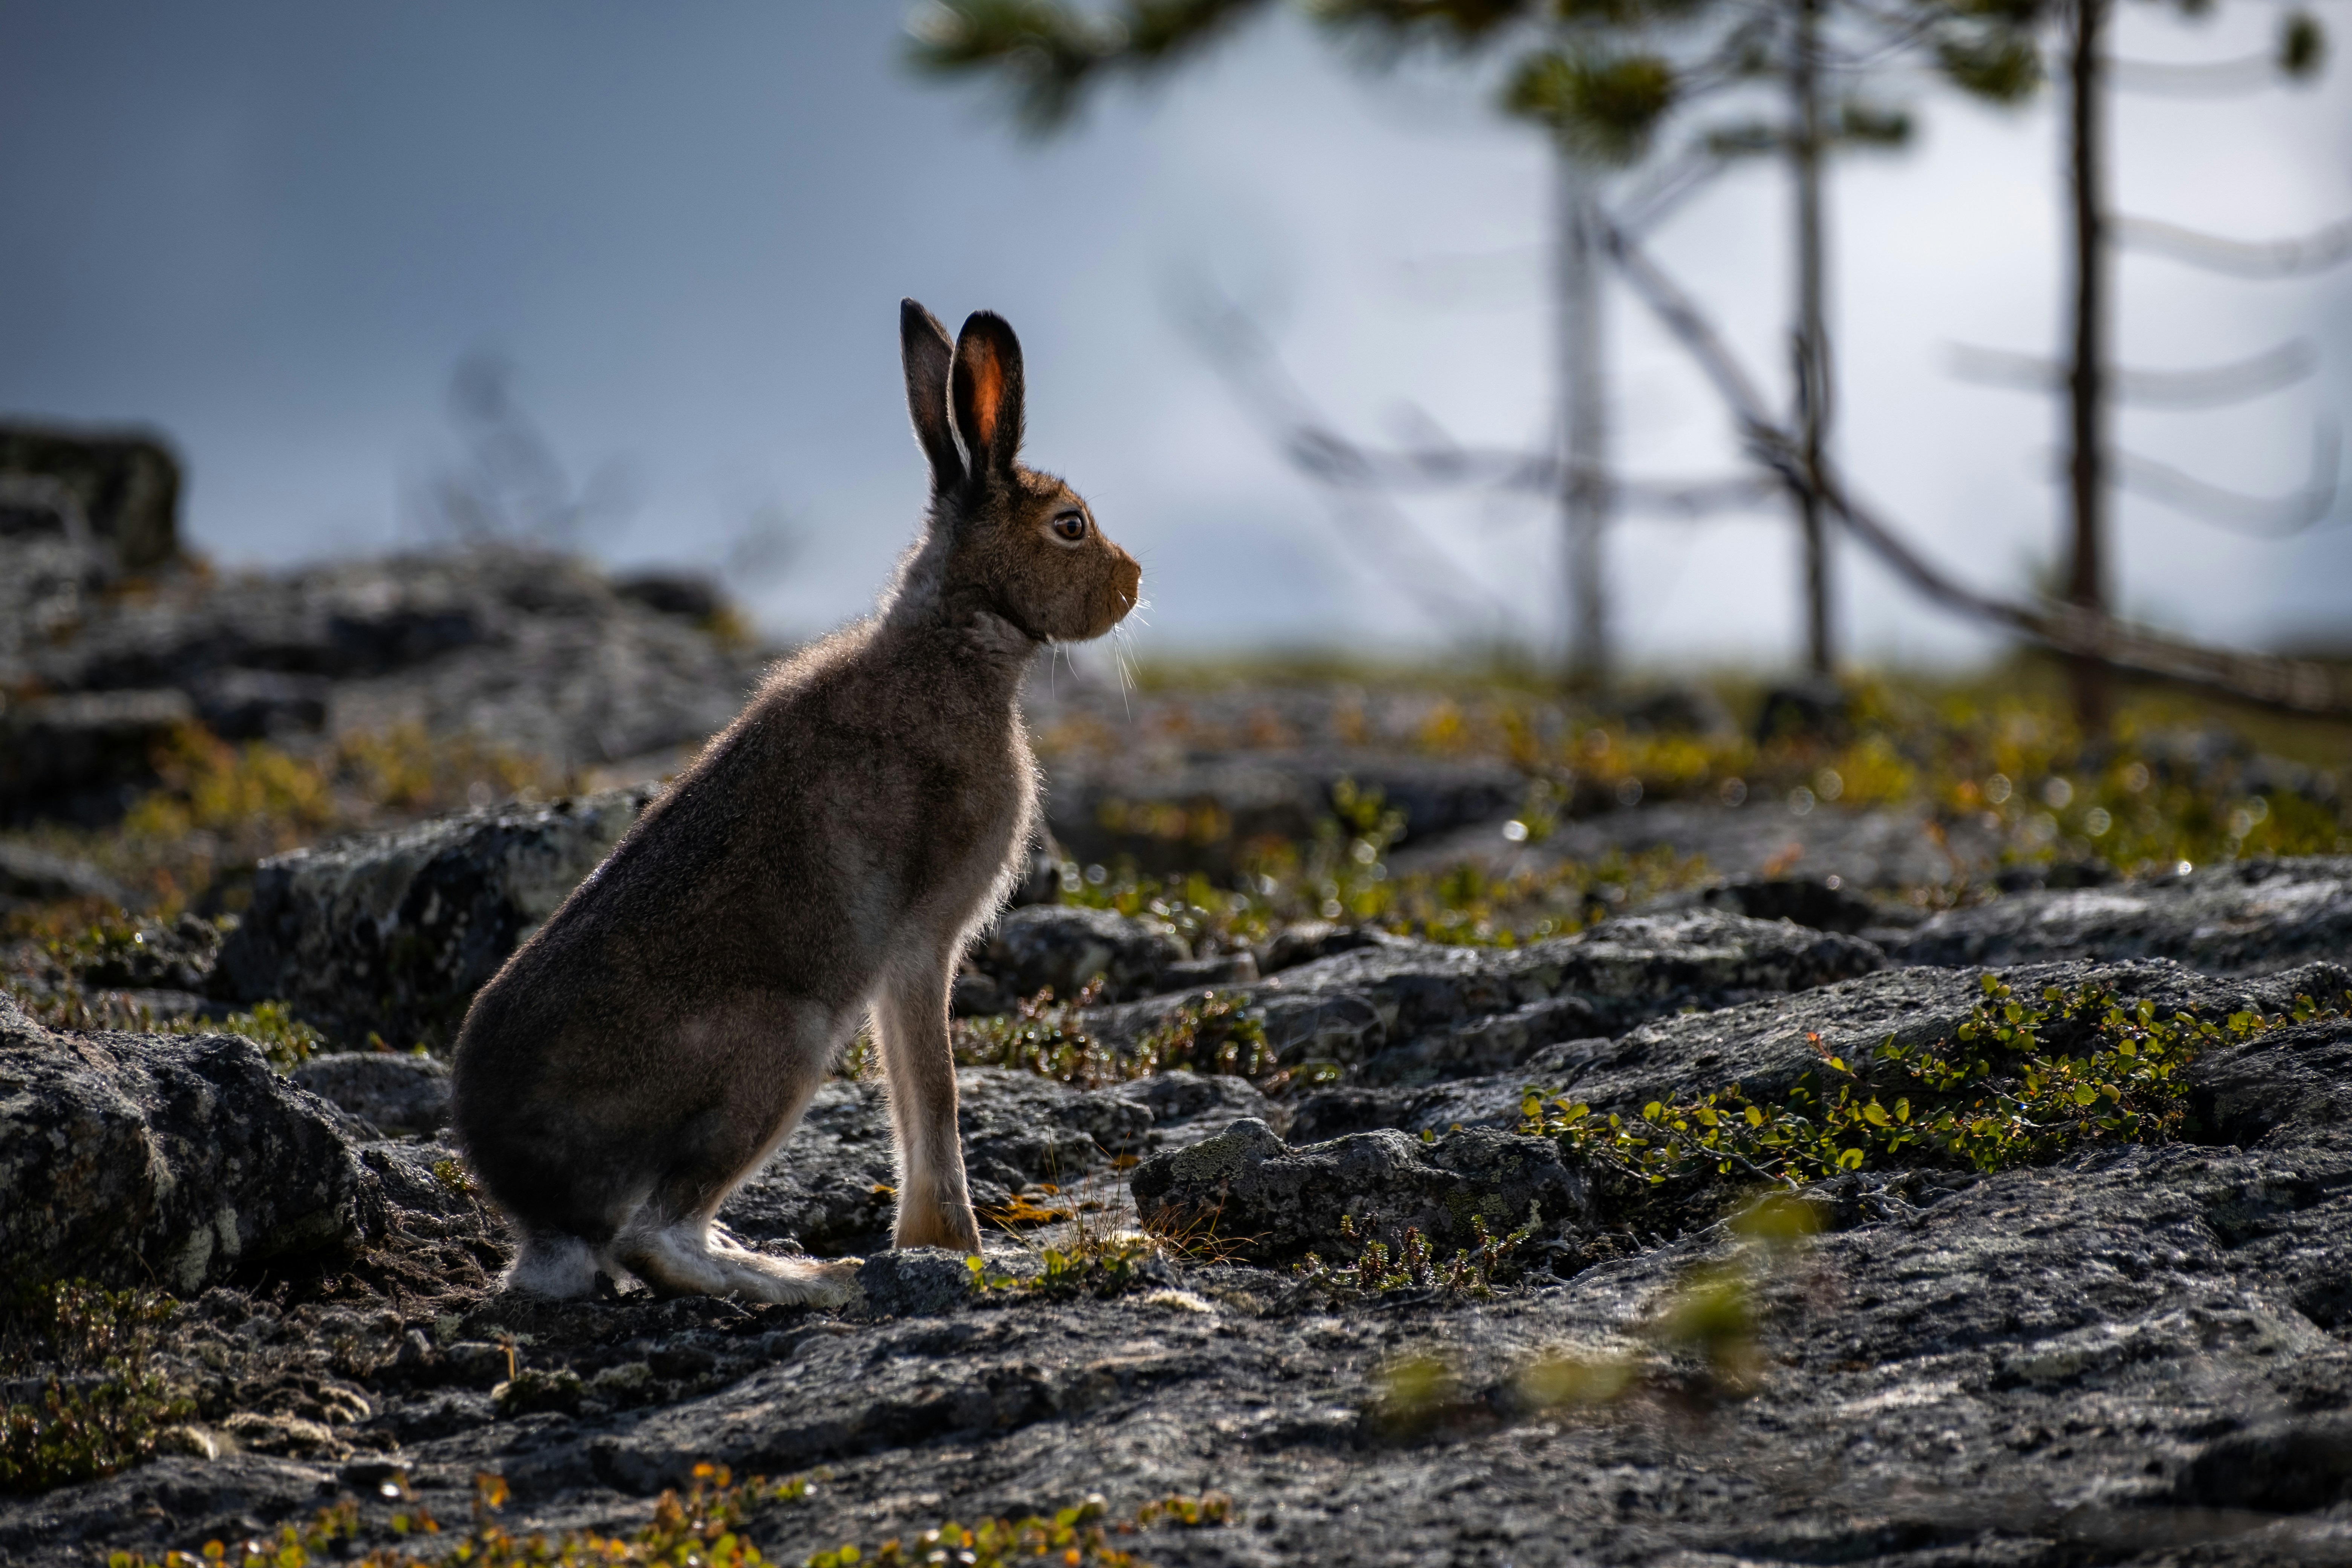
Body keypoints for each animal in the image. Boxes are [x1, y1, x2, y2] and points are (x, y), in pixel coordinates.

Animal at [448, 301, 1140, 1304]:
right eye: (1070, 525)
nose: (1135, 581)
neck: (955, 638)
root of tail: (544, 1220)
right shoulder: (920, 942)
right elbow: (937, 1093)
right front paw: (966, 1249)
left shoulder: (898, 968)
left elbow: (911, 1095)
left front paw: (930, 1241)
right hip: (783, 1044)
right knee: (654, 1239)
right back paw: (809, 1280)